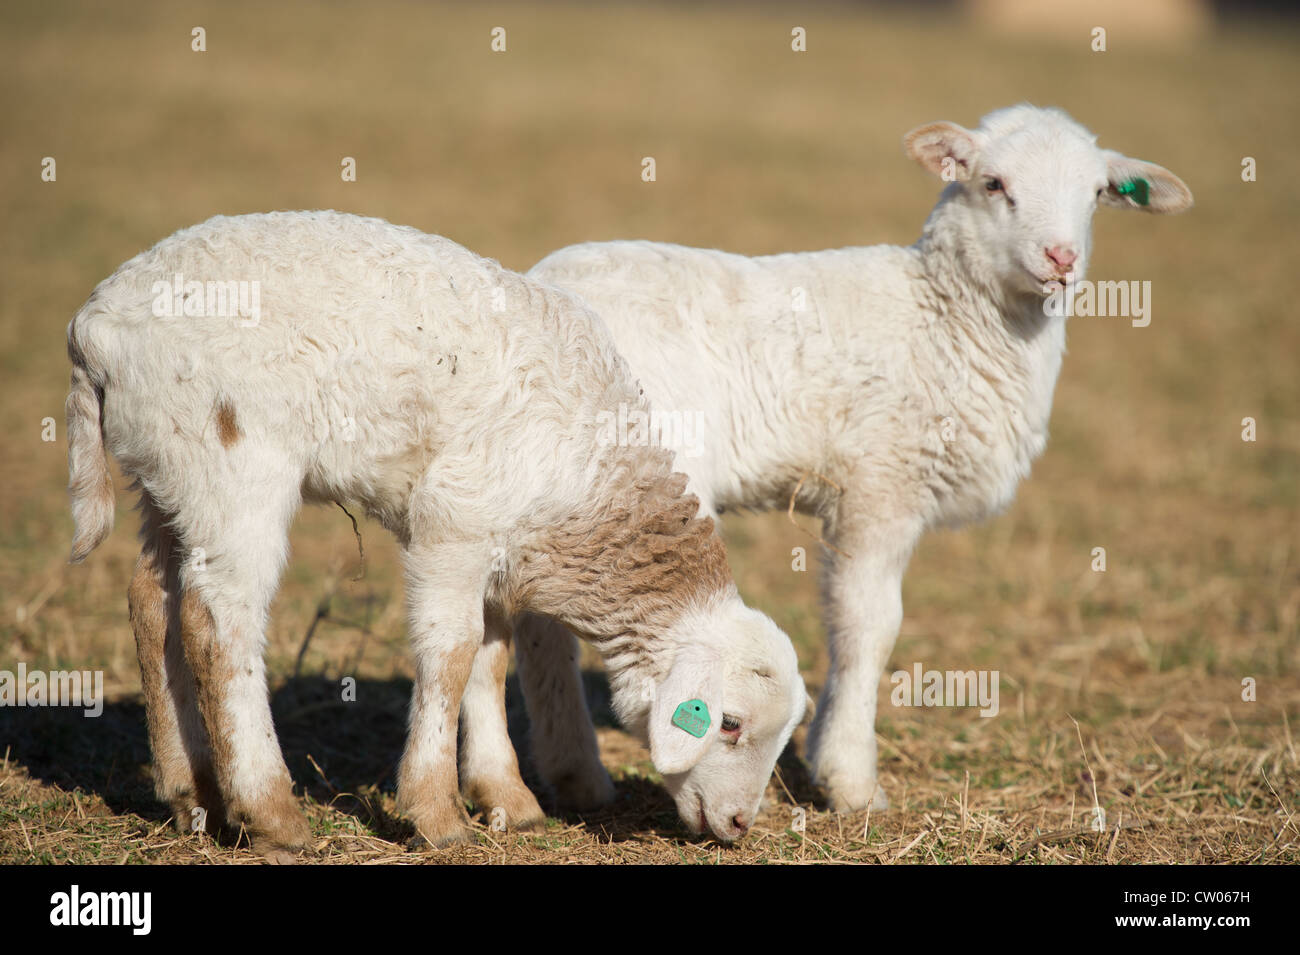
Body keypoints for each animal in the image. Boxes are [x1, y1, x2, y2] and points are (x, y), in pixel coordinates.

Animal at [65, 210, 809, 859]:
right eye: (729, 722)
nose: (739, 824)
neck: (591, 486)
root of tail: (96, 324)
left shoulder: (500, 546)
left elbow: (490, 655)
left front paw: (507, 796)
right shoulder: (452, 522)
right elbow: (450, 652)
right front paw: (436, 812)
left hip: (164, 469)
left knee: (152, 600)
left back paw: (189, 792)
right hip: (231, 460)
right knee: (220, 620)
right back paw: (270, 812)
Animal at [481, 104, 1192, 813]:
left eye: (1097, 194)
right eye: (993, 184)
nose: (1061, 258)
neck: (948, 318)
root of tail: (538, 288)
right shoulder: (880, 483)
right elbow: (868, 625)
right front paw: (850, 782)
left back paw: (573, 777)